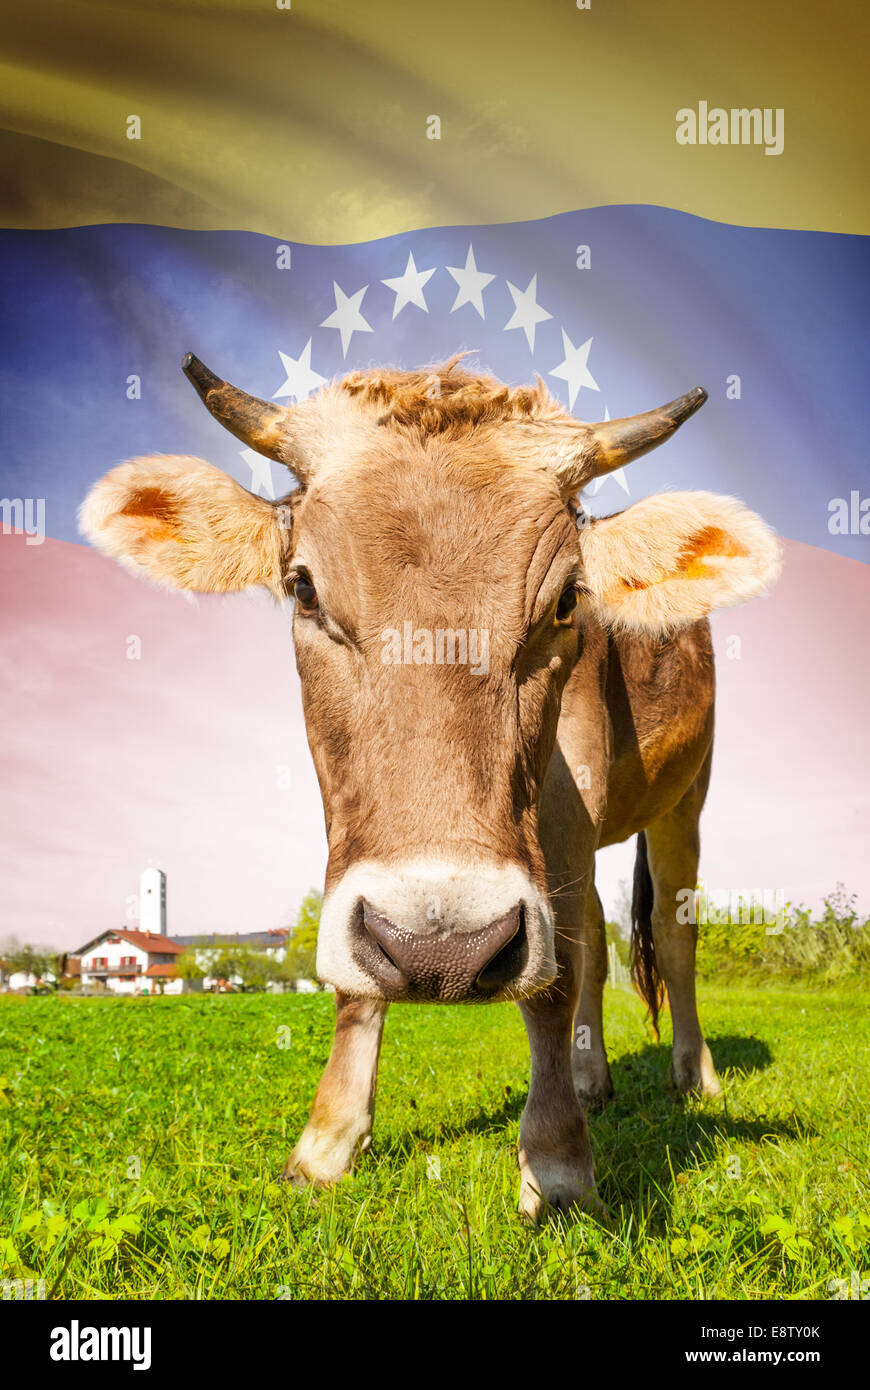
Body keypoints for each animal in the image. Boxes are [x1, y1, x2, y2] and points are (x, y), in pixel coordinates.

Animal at [80, 353, 782, 1221]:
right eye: (303, 588)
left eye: (566, 601)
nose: (441, 949)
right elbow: (364, 974)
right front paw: (327, 1142)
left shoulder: (572, 794)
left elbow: (552, 979)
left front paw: (556, 1162)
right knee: (594, 940)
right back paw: (592, 1079)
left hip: (686, 798)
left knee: (671, 939)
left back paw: (694, 1074)